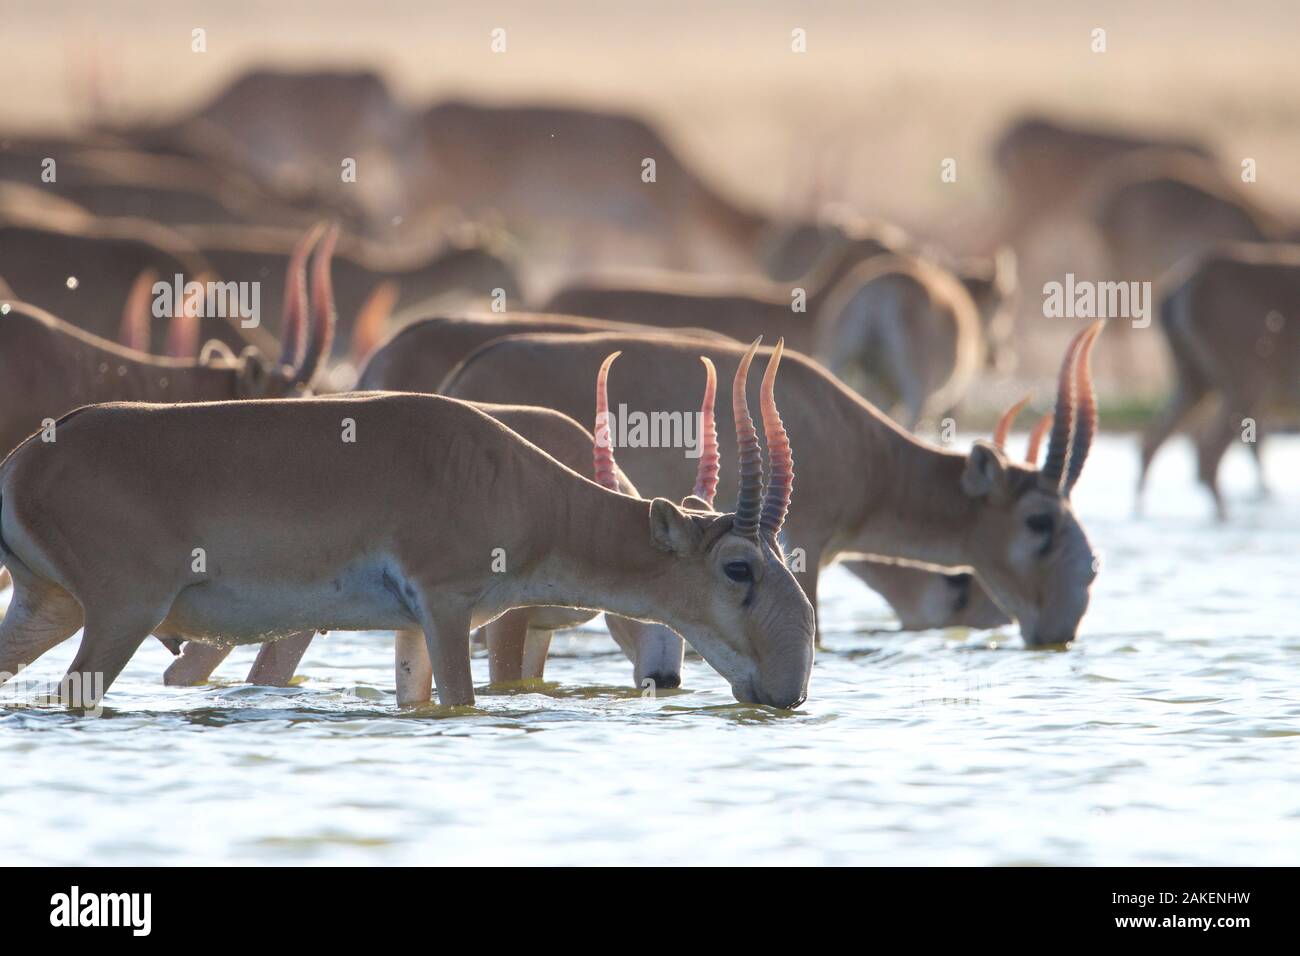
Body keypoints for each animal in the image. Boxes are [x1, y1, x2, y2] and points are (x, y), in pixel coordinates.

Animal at [0, 344, 815, 710]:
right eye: (738, 566)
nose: (790, 685)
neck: (513, 481)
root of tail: (26, 458)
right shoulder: (449, 609)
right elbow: (462, 699)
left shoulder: (410, 630)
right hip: (120, 616)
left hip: (47, 608)